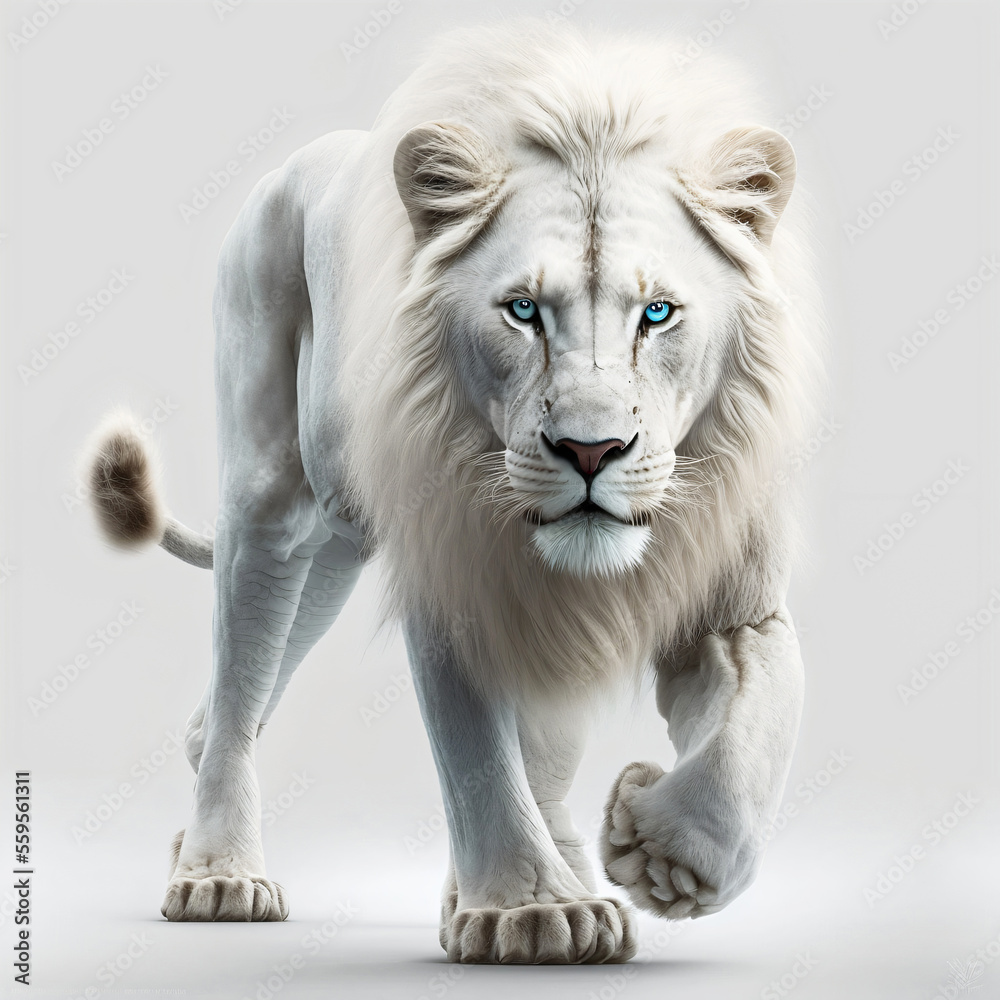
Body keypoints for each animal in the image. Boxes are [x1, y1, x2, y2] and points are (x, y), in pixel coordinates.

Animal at [83, 19, 823, 964]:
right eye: (522, 311)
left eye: (657, 314)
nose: (591, 450)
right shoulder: (457, 578)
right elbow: (479, 759)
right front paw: (529, 909)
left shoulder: (735, 603)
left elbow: (757, 729)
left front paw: (661, 858)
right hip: (269, 499)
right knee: (241, 673)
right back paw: (217, 873)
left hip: (340, 549)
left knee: (225, 709)